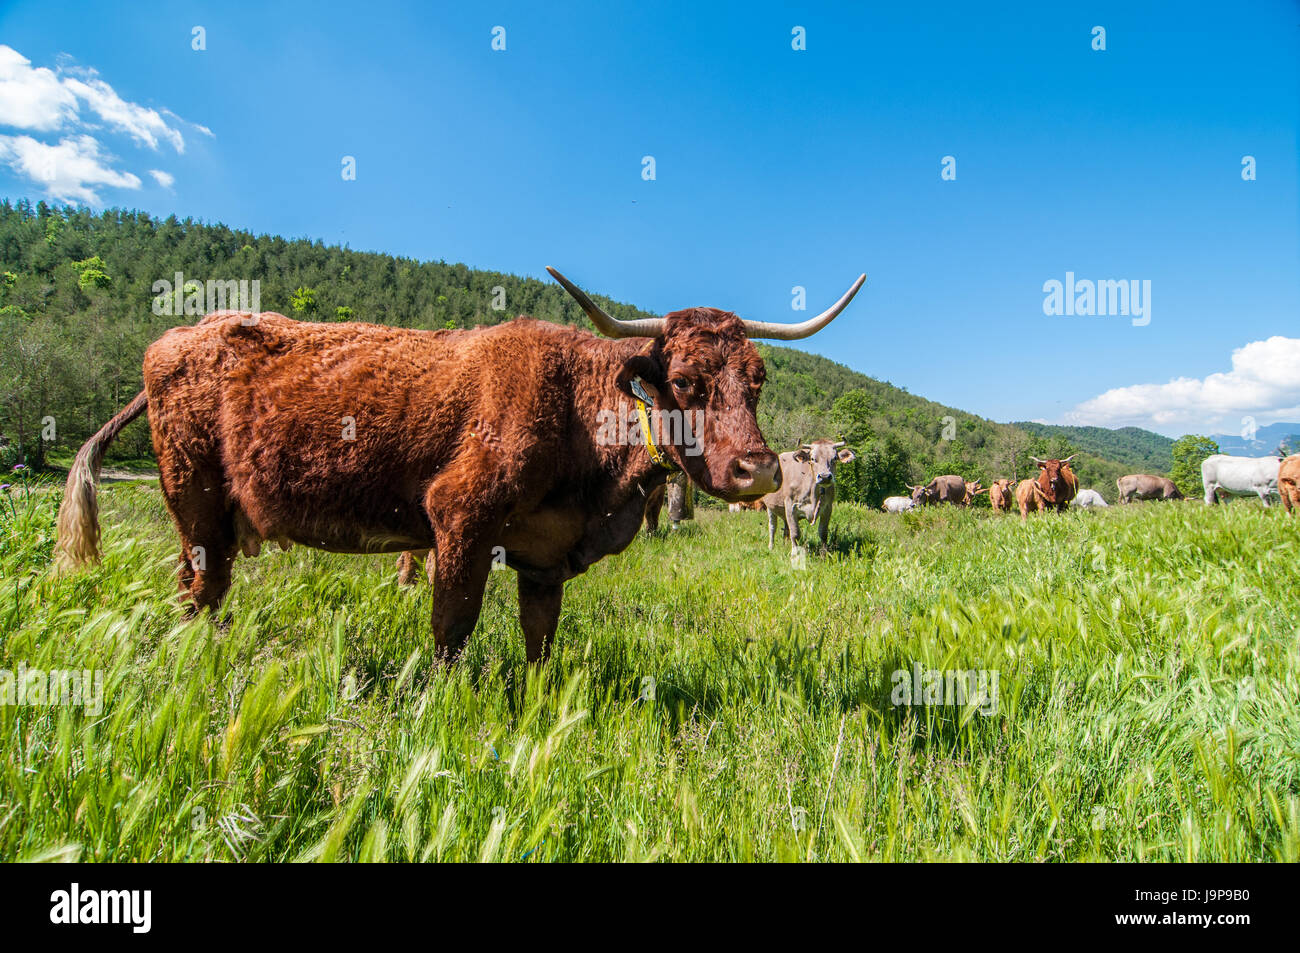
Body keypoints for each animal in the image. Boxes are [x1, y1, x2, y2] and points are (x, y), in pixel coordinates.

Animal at [55, 268, 867, 663]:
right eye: (688, 381)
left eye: (757, 380)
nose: (760, 473)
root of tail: (185, 334)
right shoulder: (459, 522)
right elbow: (452, 629)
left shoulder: (544, 556)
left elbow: (541, 644)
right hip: (196, 510)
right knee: (198, 594)